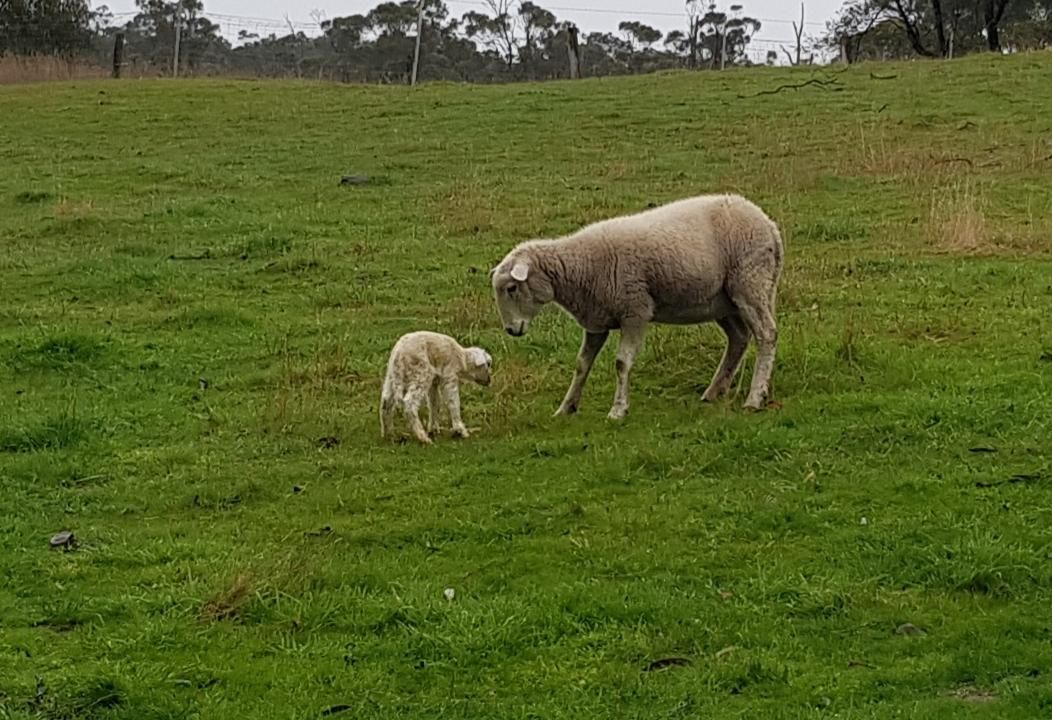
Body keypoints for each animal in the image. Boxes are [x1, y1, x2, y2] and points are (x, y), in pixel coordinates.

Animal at [490, 193, 783, 420]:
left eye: (512, 288)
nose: (511, 330)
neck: (577, 267)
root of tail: (769, 225)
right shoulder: (596, 322)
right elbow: (581, 365)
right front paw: (566, 407)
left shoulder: (635, 311)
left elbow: (622, 363)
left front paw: (618, 410)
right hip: (721, 301)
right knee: (739, 338)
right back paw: (714, 391)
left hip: (750, 283)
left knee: (766, 334)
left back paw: (754, 397)